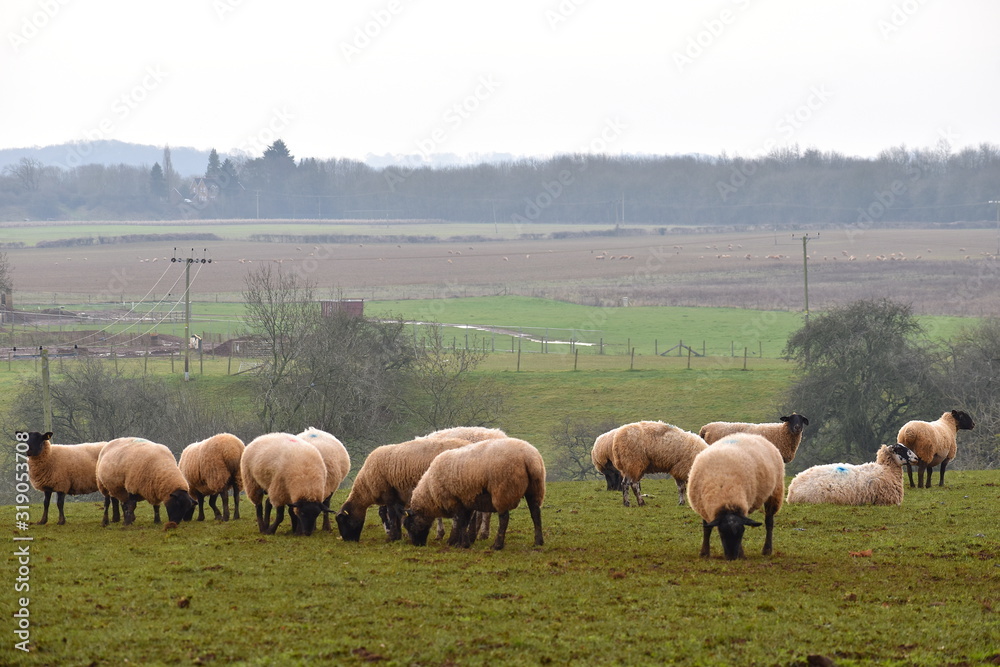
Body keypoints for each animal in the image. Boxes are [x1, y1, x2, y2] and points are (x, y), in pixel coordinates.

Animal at [335, 436, 469, 542]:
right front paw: (398, 536)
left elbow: (392, 515)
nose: (348, 540)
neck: (366, 486)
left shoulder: (388, 494)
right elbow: (398, 516)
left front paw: (393, 537)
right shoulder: (398, 497)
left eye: (344, 521)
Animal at [402, 437, 546, 550]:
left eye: (409, 525)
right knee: (535, 514)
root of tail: (529, 457)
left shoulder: (454, 500)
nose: (417, 544)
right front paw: (460, 542)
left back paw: (497, 545)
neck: (430, 492)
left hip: (502, 490)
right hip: (535, 488)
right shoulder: (467, 501)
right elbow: (465, 522)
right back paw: (538, 542)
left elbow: (460, 522)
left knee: (504, 518)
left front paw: (461, 544)